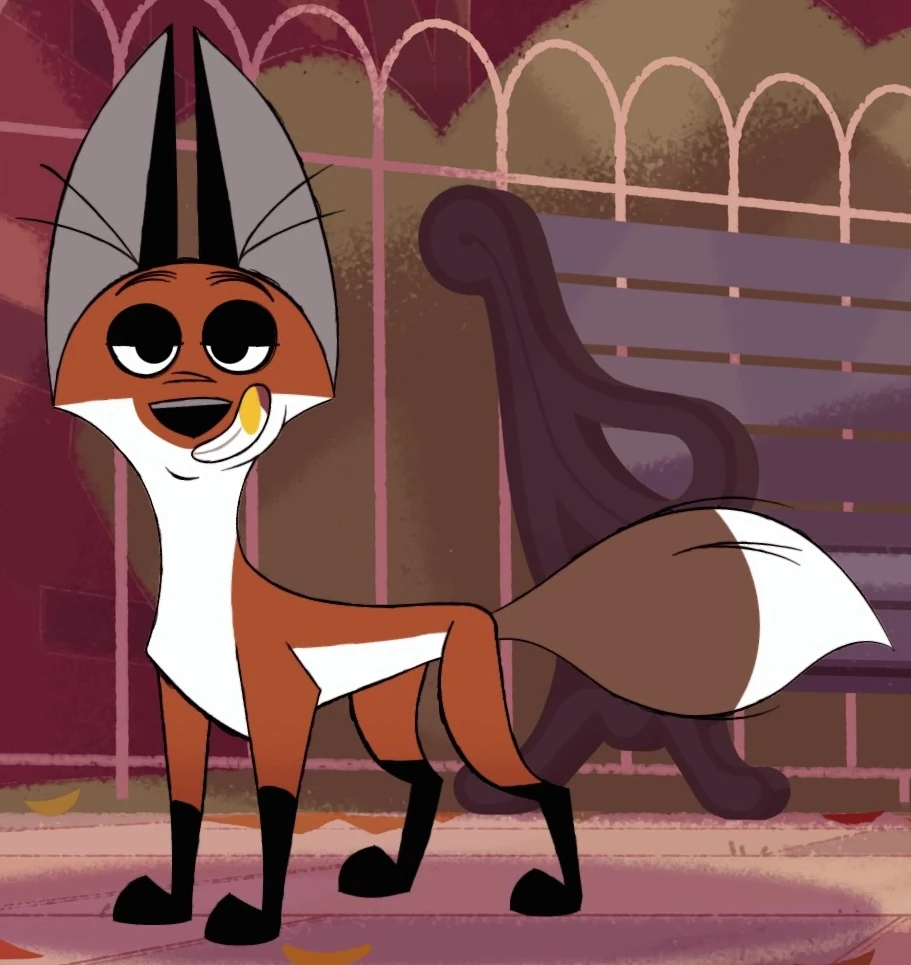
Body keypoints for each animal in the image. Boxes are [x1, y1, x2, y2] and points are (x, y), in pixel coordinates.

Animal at [37, 25, 892, 947]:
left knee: (530, 784)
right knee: (429, 779)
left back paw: (543, 889)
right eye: (141, 341)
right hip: (386, 712)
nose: (205, 406)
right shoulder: (185, 716)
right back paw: (394, 877)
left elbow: (272, 813)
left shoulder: (282, 713)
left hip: (460, 709)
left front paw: (255, 921)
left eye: (239, 338)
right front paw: (172, 905)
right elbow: (187, 814)